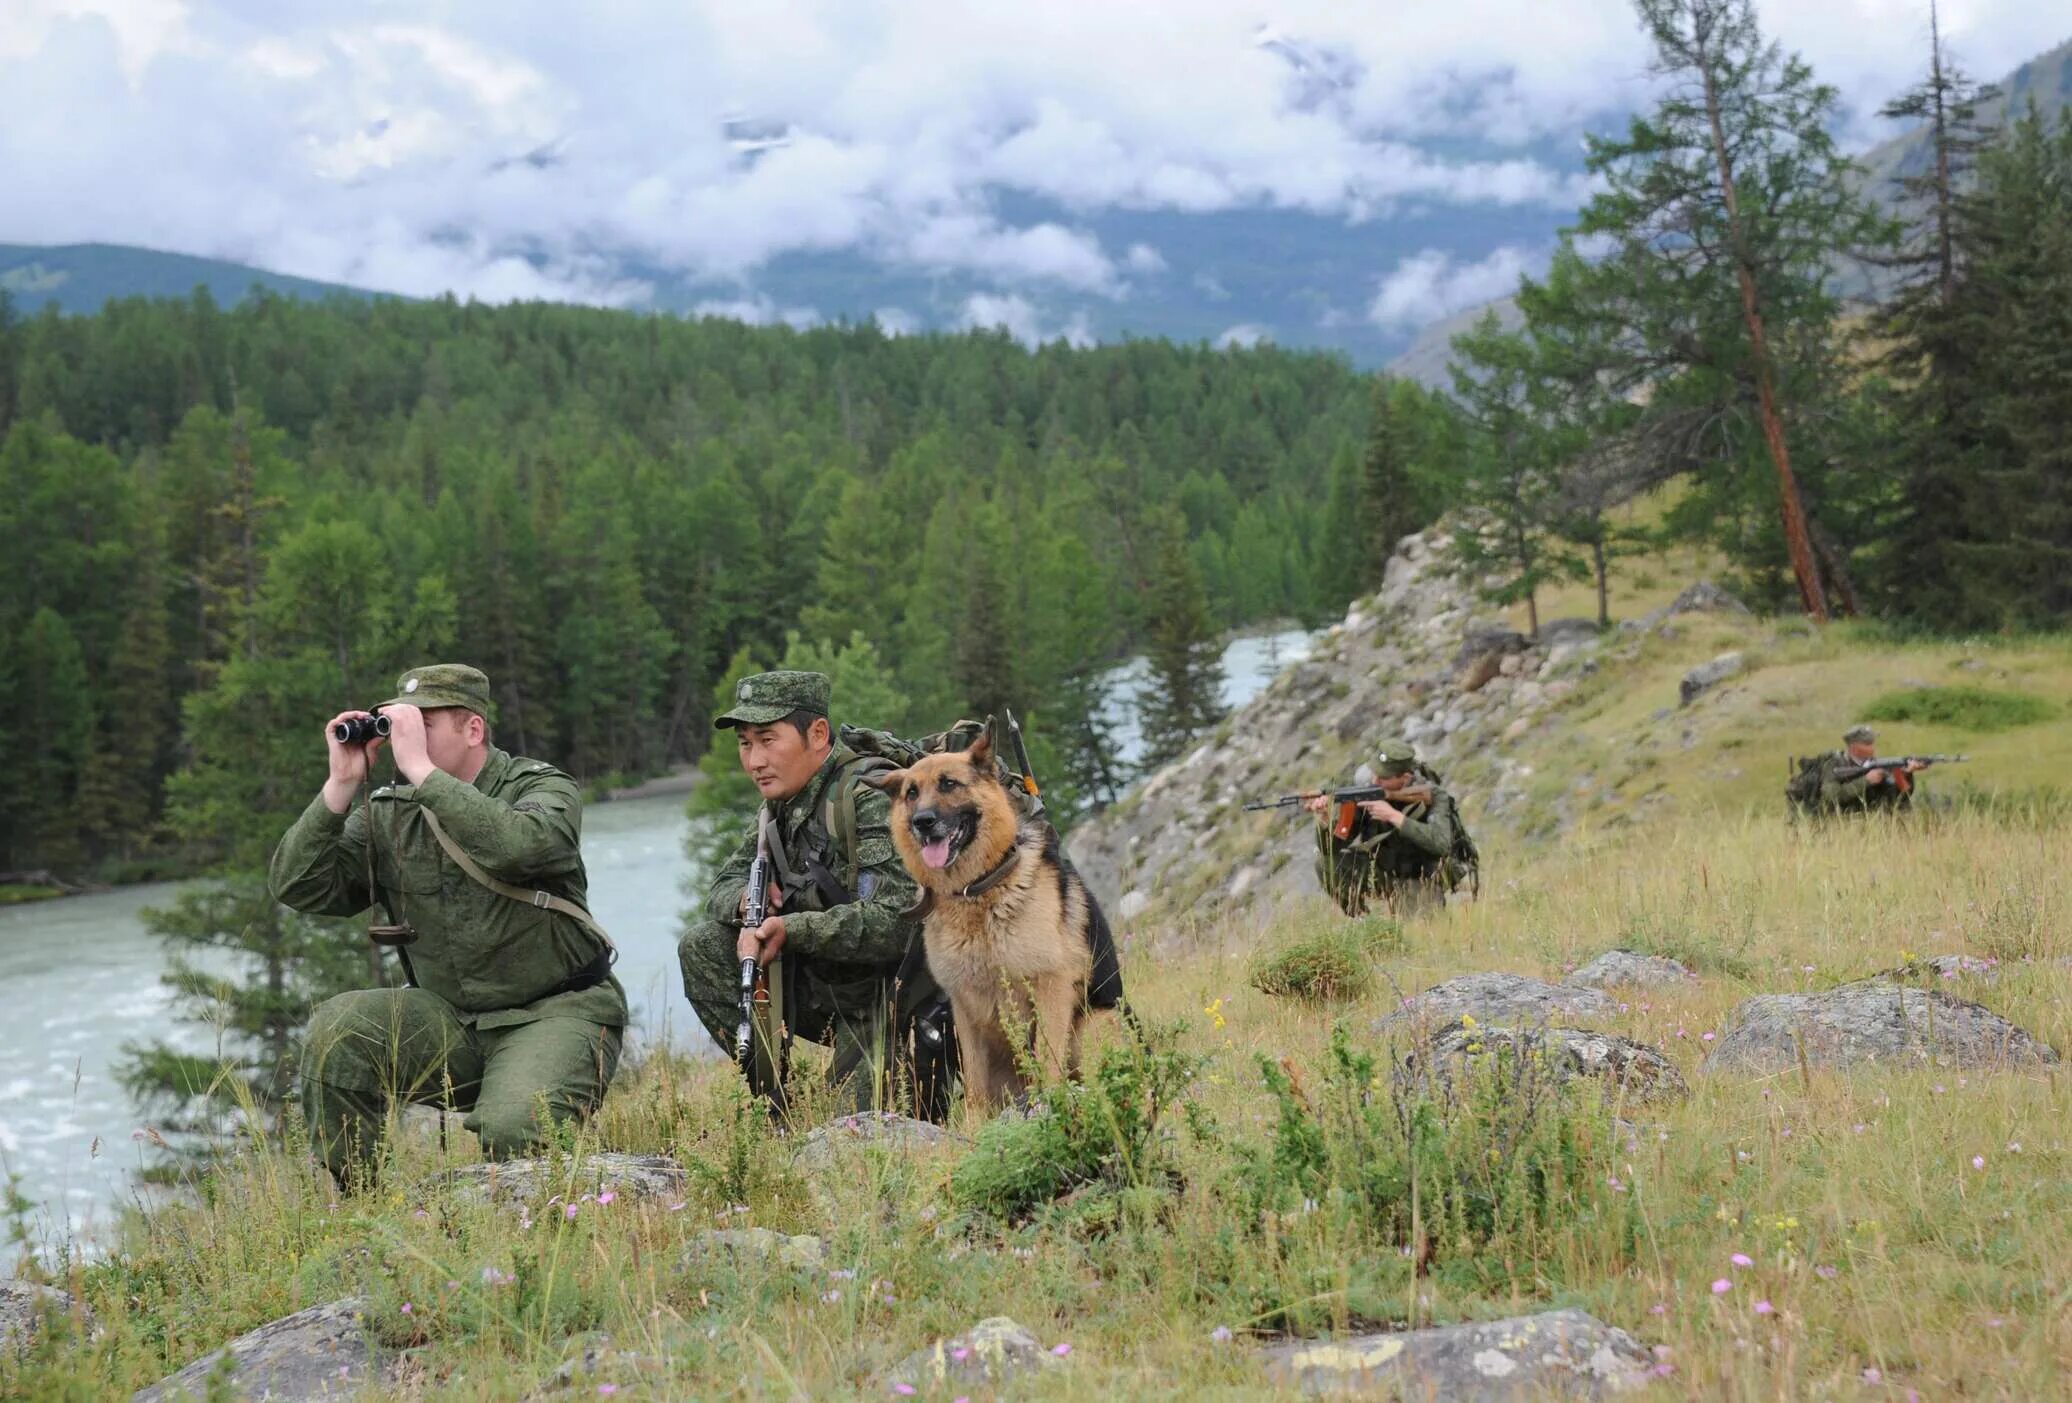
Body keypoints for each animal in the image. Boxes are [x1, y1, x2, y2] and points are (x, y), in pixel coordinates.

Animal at [870, 733, 1110, 1119]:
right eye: (911, 793)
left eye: (948, 784)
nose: (922, 821)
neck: (976, 891)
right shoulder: (964, 1008)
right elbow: (975, 1085)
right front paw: (974, 1127)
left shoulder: (1052, 987)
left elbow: (1047, 1057)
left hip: (1099, 1025)